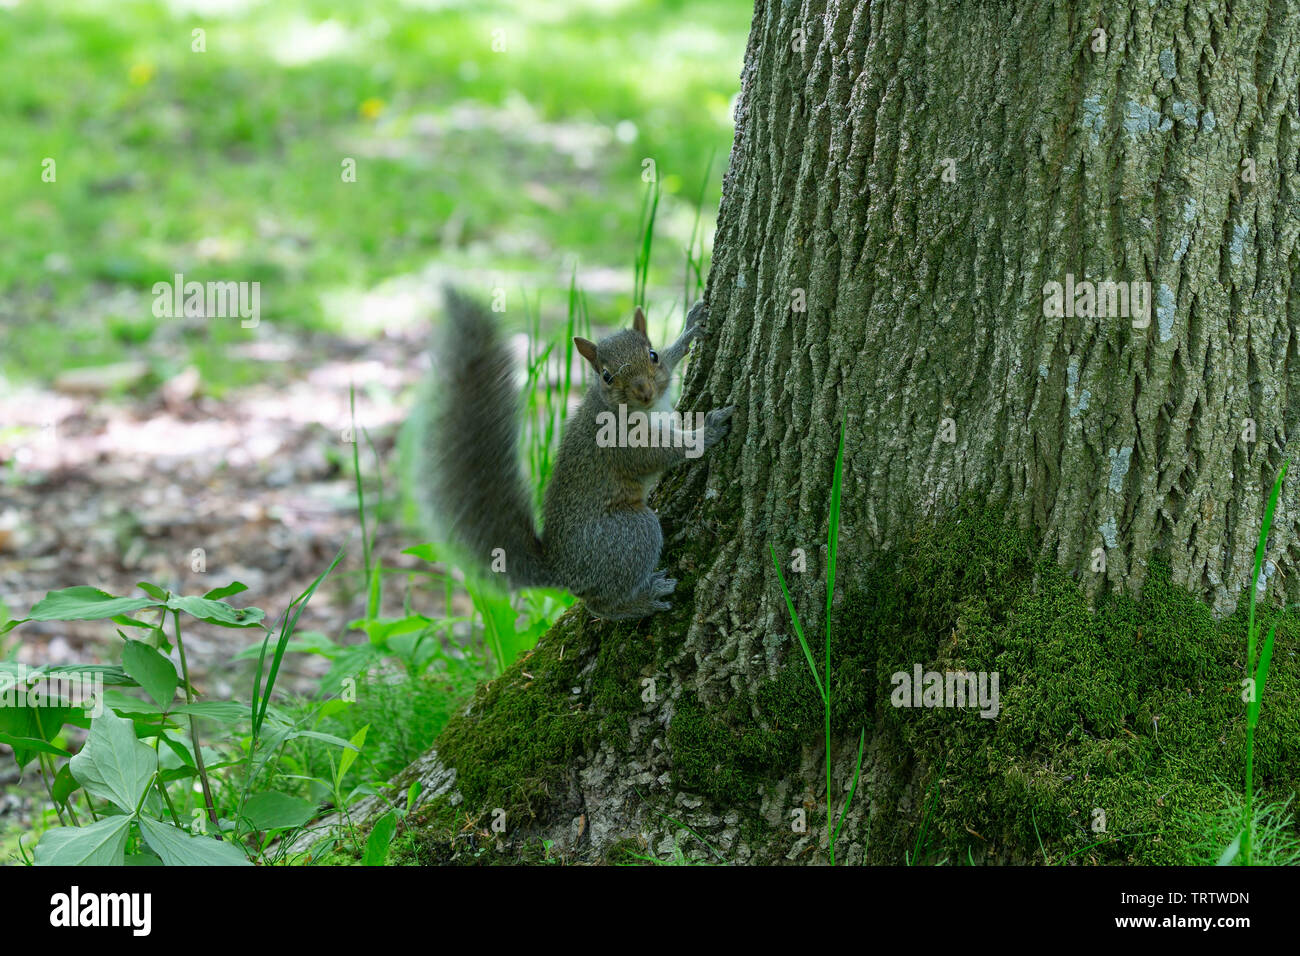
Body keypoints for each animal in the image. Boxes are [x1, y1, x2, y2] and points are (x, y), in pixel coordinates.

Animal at [425, 287, 735, 620]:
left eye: (651, 355)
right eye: (607, 376)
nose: (645, 392)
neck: (641, 408)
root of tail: (561, 571)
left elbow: (671, 360)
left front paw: (688, 330)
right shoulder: (619, 443)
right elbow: (657, 454)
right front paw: (707, 432)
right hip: (629, 534)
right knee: (601, 604)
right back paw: (642, 601)